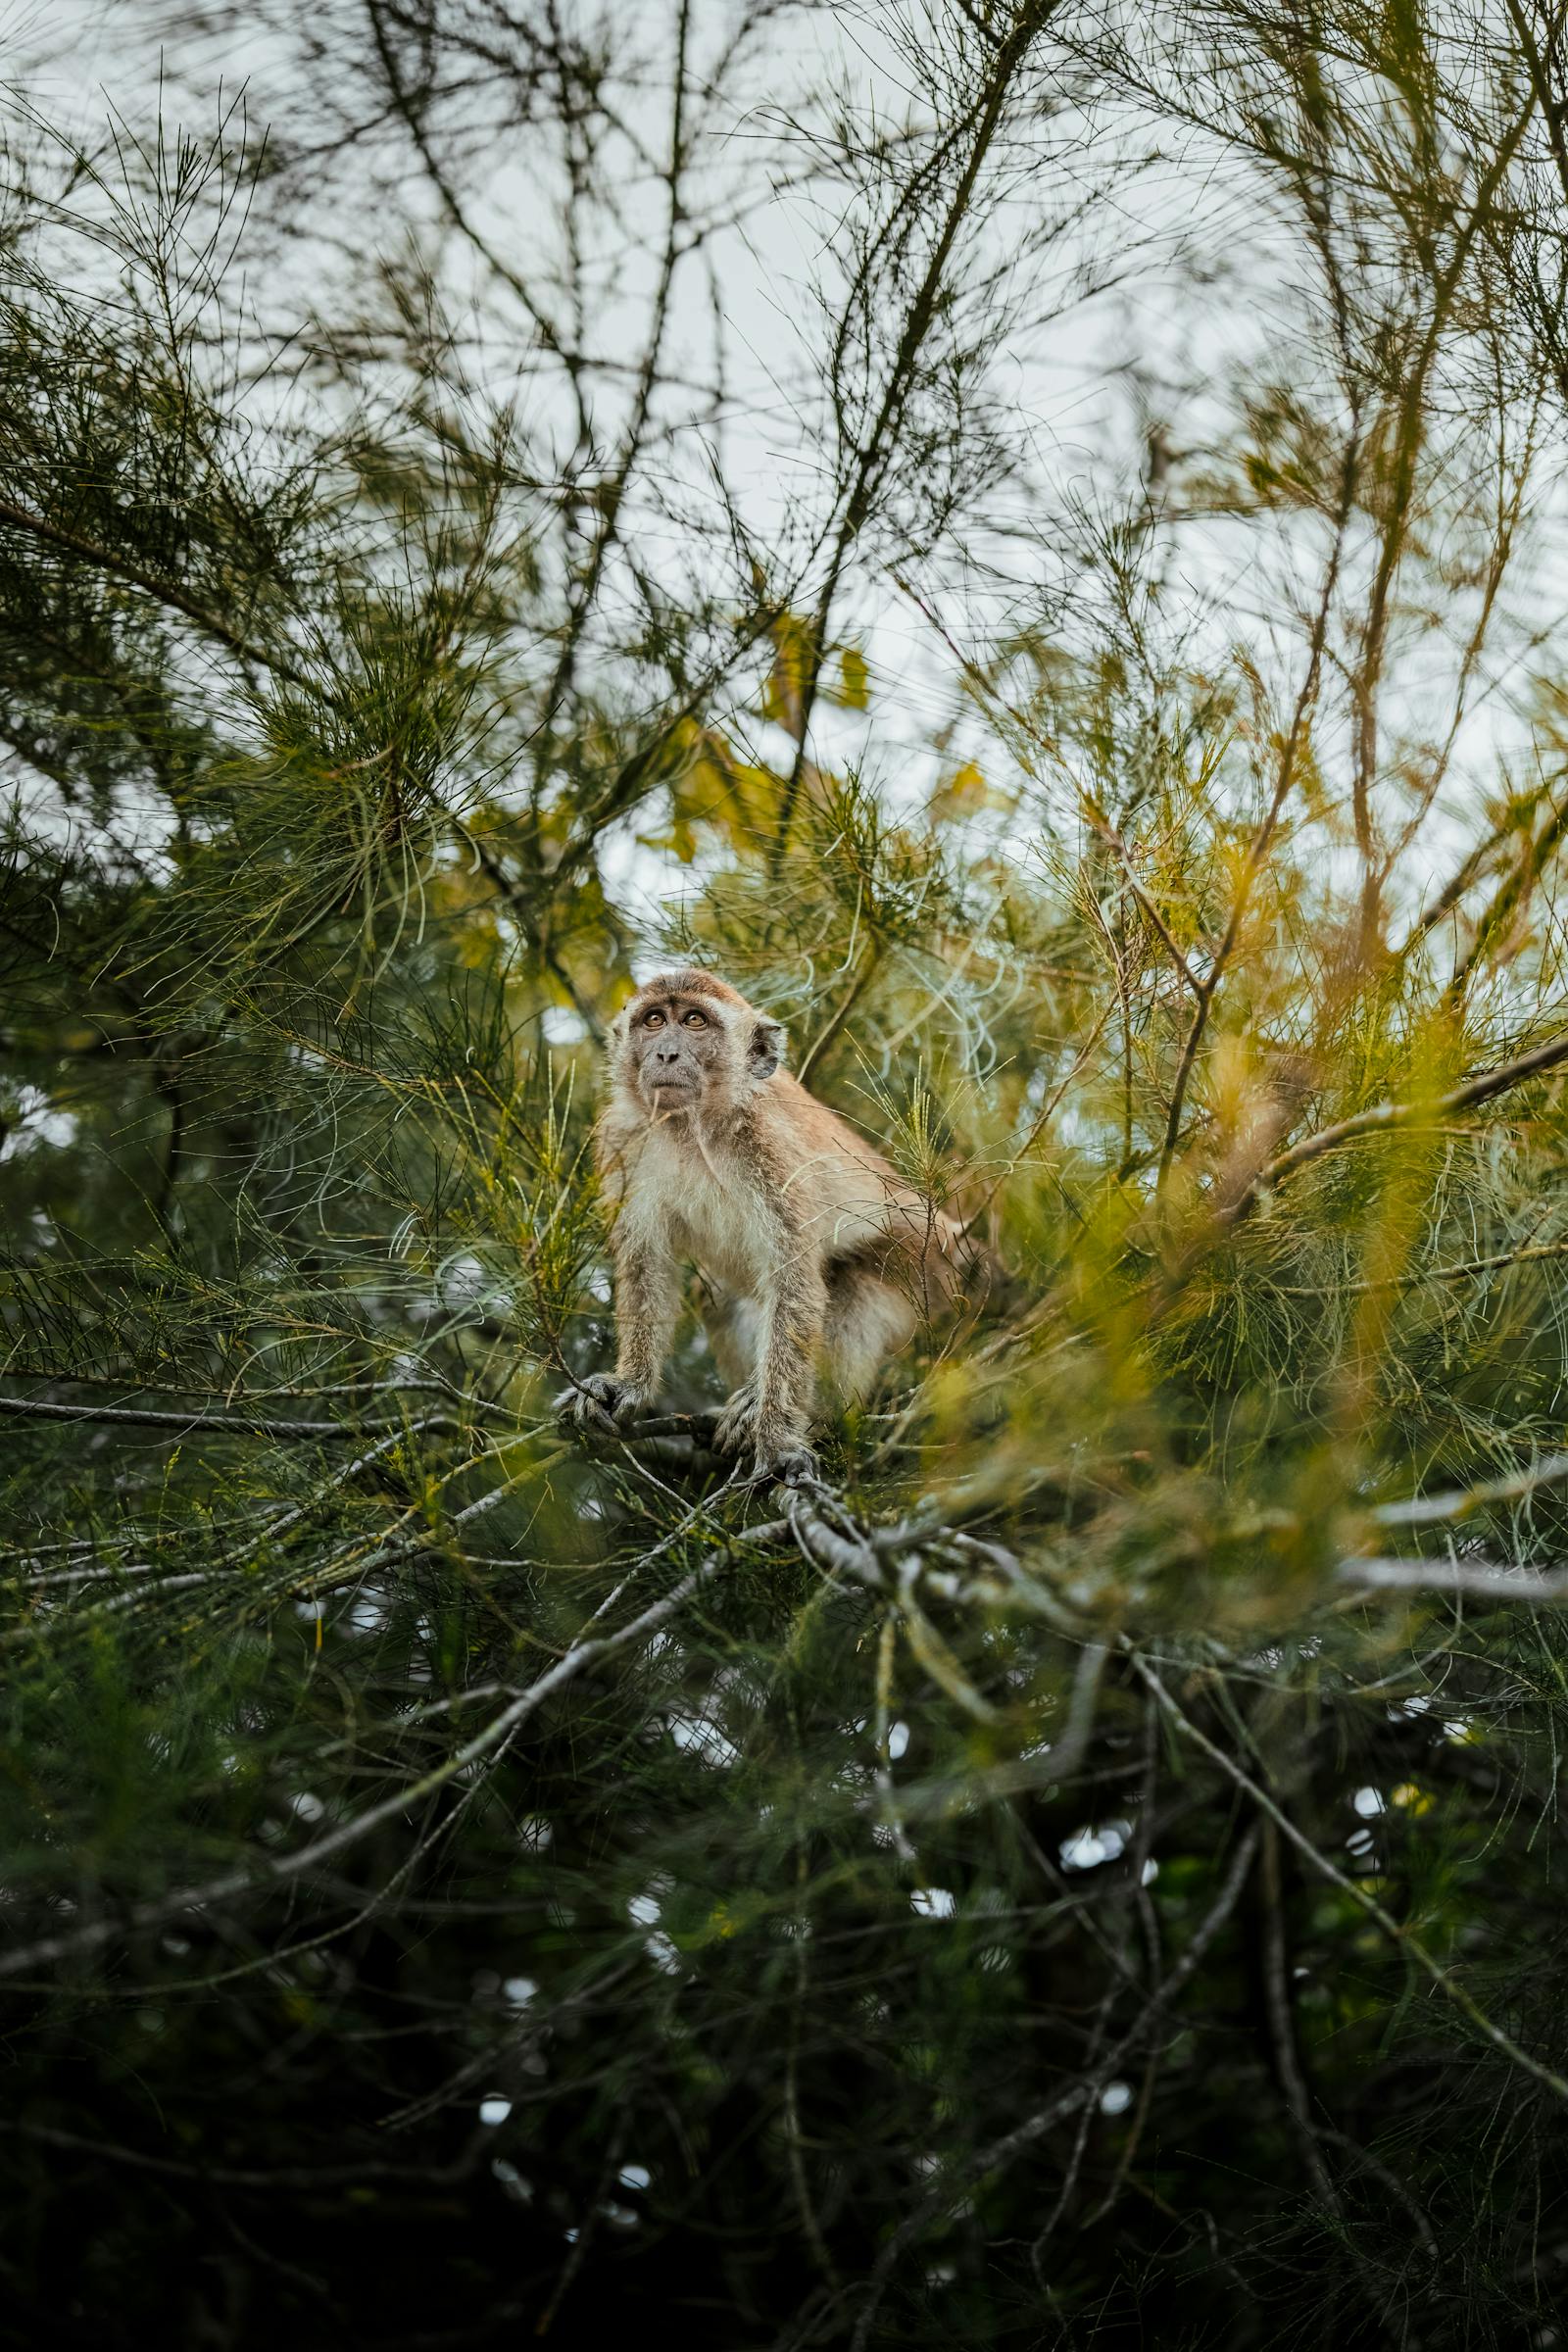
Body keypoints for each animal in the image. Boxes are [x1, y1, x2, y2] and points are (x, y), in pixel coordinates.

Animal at [556, 970, 966, 1478]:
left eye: (694, 1021)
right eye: (653, 1021)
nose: (666, 1053)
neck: (691, 1126)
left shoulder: (772, 1154)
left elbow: (795, 1285)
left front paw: (776, 1441)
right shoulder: (623, 1138)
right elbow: (645, 1262)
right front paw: (627, 1384)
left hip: (922, 1267)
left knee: (852, 1286)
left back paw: (807, 1416)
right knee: (714, 1294)